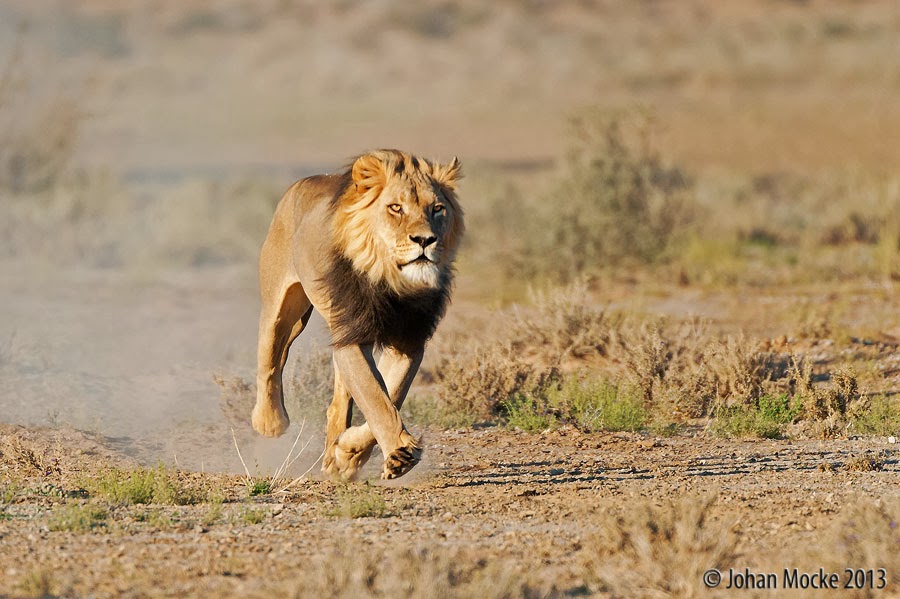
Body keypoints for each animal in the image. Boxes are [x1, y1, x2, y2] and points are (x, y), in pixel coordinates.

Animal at [250, 149, 464, 480]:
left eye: (437, 209)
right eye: (395, 208)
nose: (425, 240)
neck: (393, 279)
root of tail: (303, 182)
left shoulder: (408, 339)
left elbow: (391, 392)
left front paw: (349, 455)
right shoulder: (353, 332)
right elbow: (375, 396)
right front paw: (399, 453)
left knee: (339, 399)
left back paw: (332, 458)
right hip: (284, 309)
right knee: (270, 358)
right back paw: (270, 422)